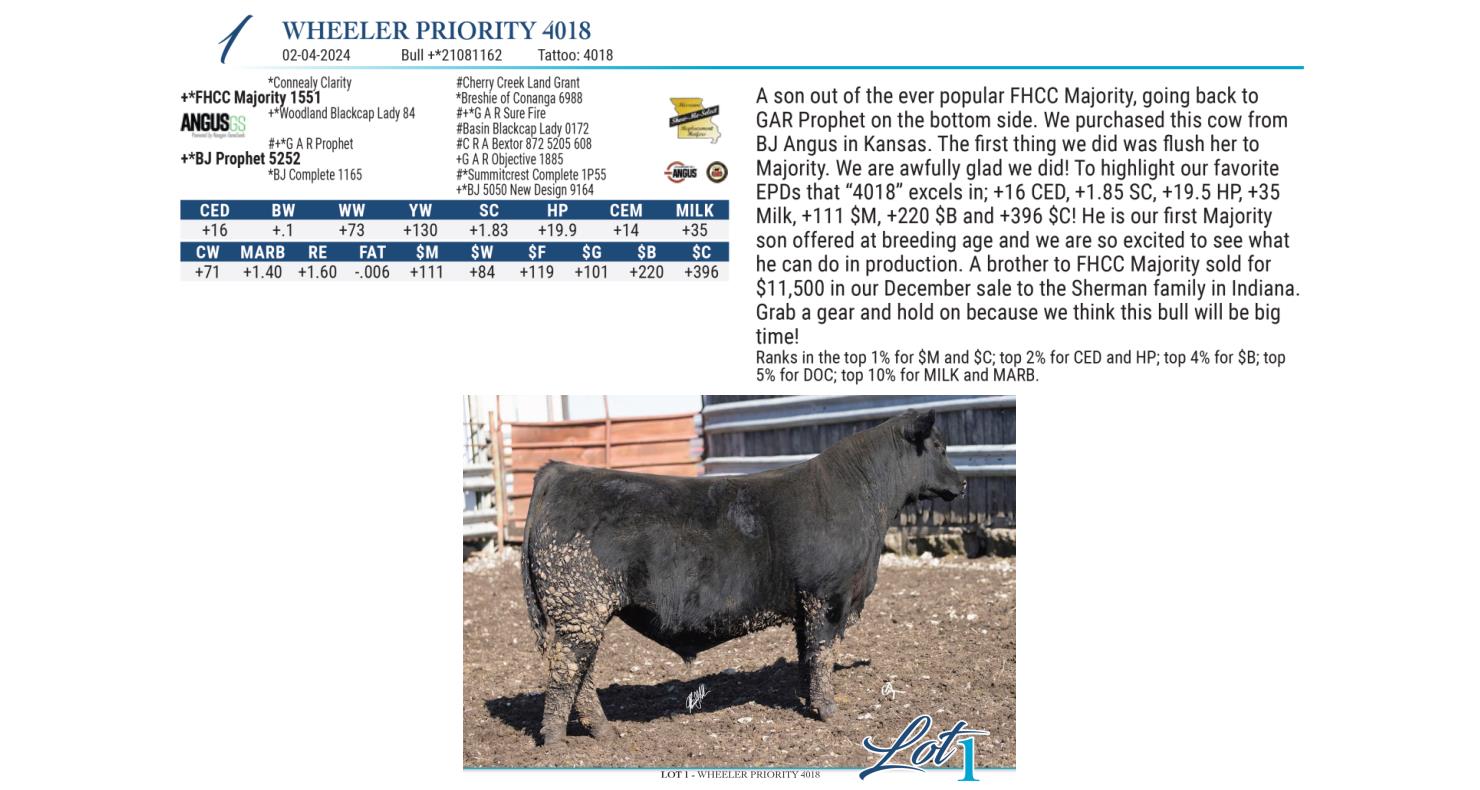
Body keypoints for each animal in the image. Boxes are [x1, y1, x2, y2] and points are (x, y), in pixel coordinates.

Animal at [519, 409, 966, 746]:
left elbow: (806, 655)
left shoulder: (804, 604)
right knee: (565, 672)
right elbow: (822, 654)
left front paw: (806, 701)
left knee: (583, 673)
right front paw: (828, 711)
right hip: (579, 608)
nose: (962, 482)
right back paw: (556, 741)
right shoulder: (826, 597)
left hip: (582, 615)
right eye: (939, 446)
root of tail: (560, 473)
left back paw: (603, 732)